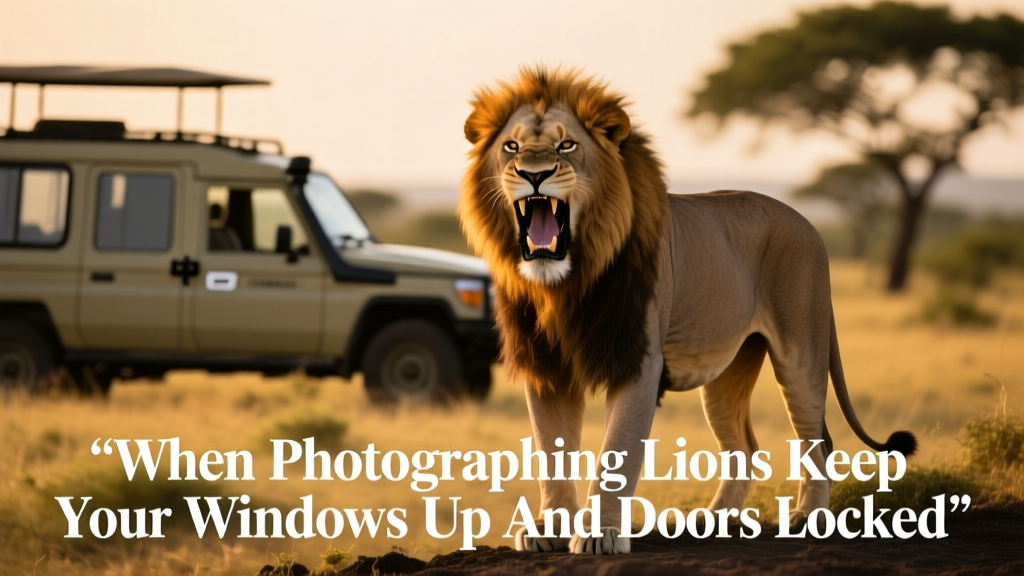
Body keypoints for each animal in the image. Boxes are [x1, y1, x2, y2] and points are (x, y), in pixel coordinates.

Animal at [457, 67, 915, 555]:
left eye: (567, 146)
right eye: (511, 147)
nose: (534, 174)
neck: (565, 284)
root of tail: (808, 223)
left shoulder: (640, 360)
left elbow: (616, 453)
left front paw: (601, 535)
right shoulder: (546, 365)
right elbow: (550, 452)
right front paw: (550, 529)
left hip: (801, 350)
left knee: (817, 441)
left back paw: (808, 516)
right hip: (729, 369)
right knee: (744, 448)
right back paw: (711, 522)